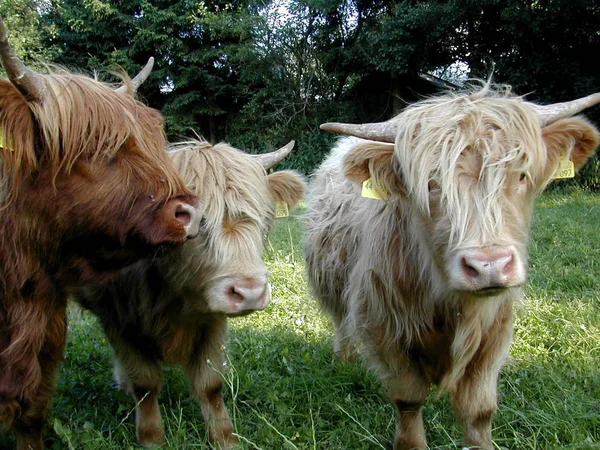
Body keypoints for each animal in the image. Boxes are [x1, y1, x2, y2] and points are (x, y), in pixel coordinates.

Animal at [74, 139, 304, 448]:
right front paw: (152, 438)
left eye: (264, 219)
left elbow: (210, 383)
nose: (249, 292)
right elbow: (145, 383)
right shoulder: (118, 316)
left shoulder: (212, 317)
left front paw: (224, 437)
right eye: (193, 222)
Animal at [304, 83, 600, 450]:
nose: (489, 266)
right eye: (431, 184)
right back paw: (344, 358)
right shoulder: (384, 325)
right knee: (341, 322)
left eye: (520, 175)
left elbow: (479, 410)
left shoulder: (495, 331)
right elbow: (408, 398)